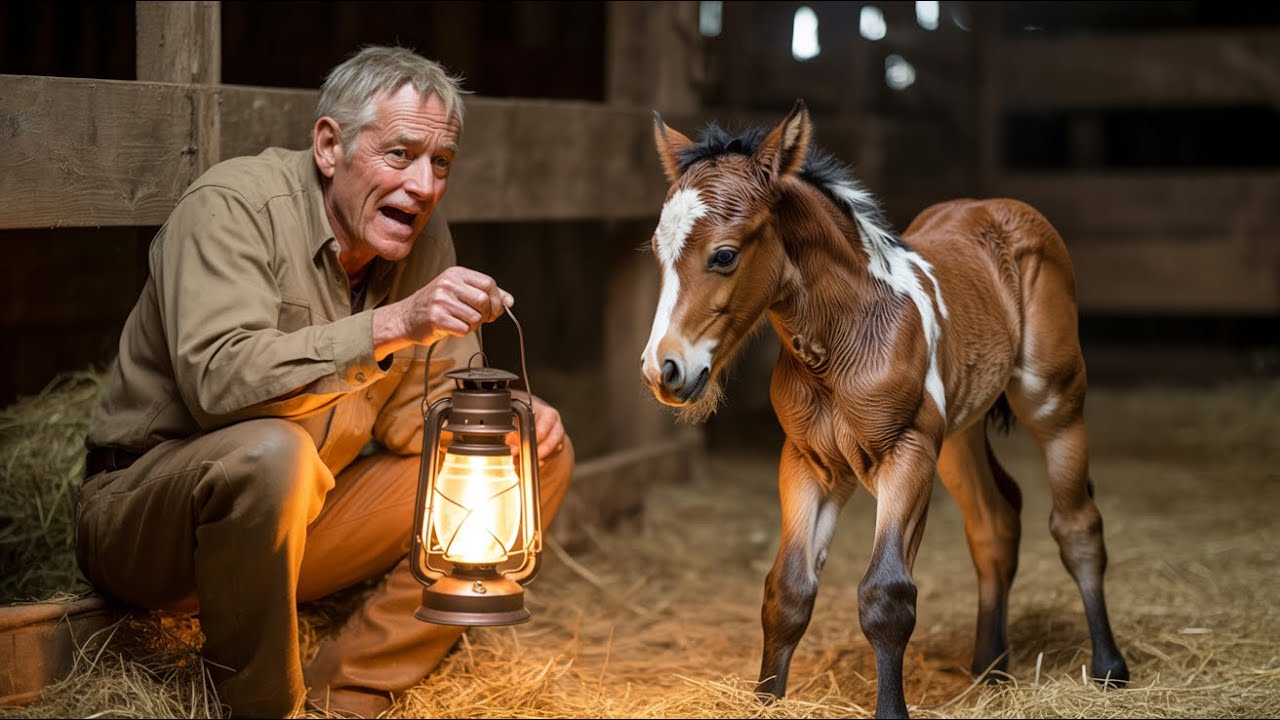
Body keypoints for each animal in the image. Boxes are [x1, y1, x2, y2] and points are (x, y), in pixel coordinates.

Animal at [637, 100, 1130, 718]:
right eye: (658, 253)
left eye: (725, 255)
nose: (663, 369)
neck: (840, 341)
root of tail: (999, 206)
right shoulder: (809, 462)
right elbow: (787, 591)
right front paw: (766, 699)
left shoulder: (906, 452)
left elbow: (887, 595)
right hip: (958, 437)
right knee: (994, 522)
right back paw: (990, 668)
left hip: (1054, 399)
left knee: (1077, 524)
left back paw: (1109, 667)